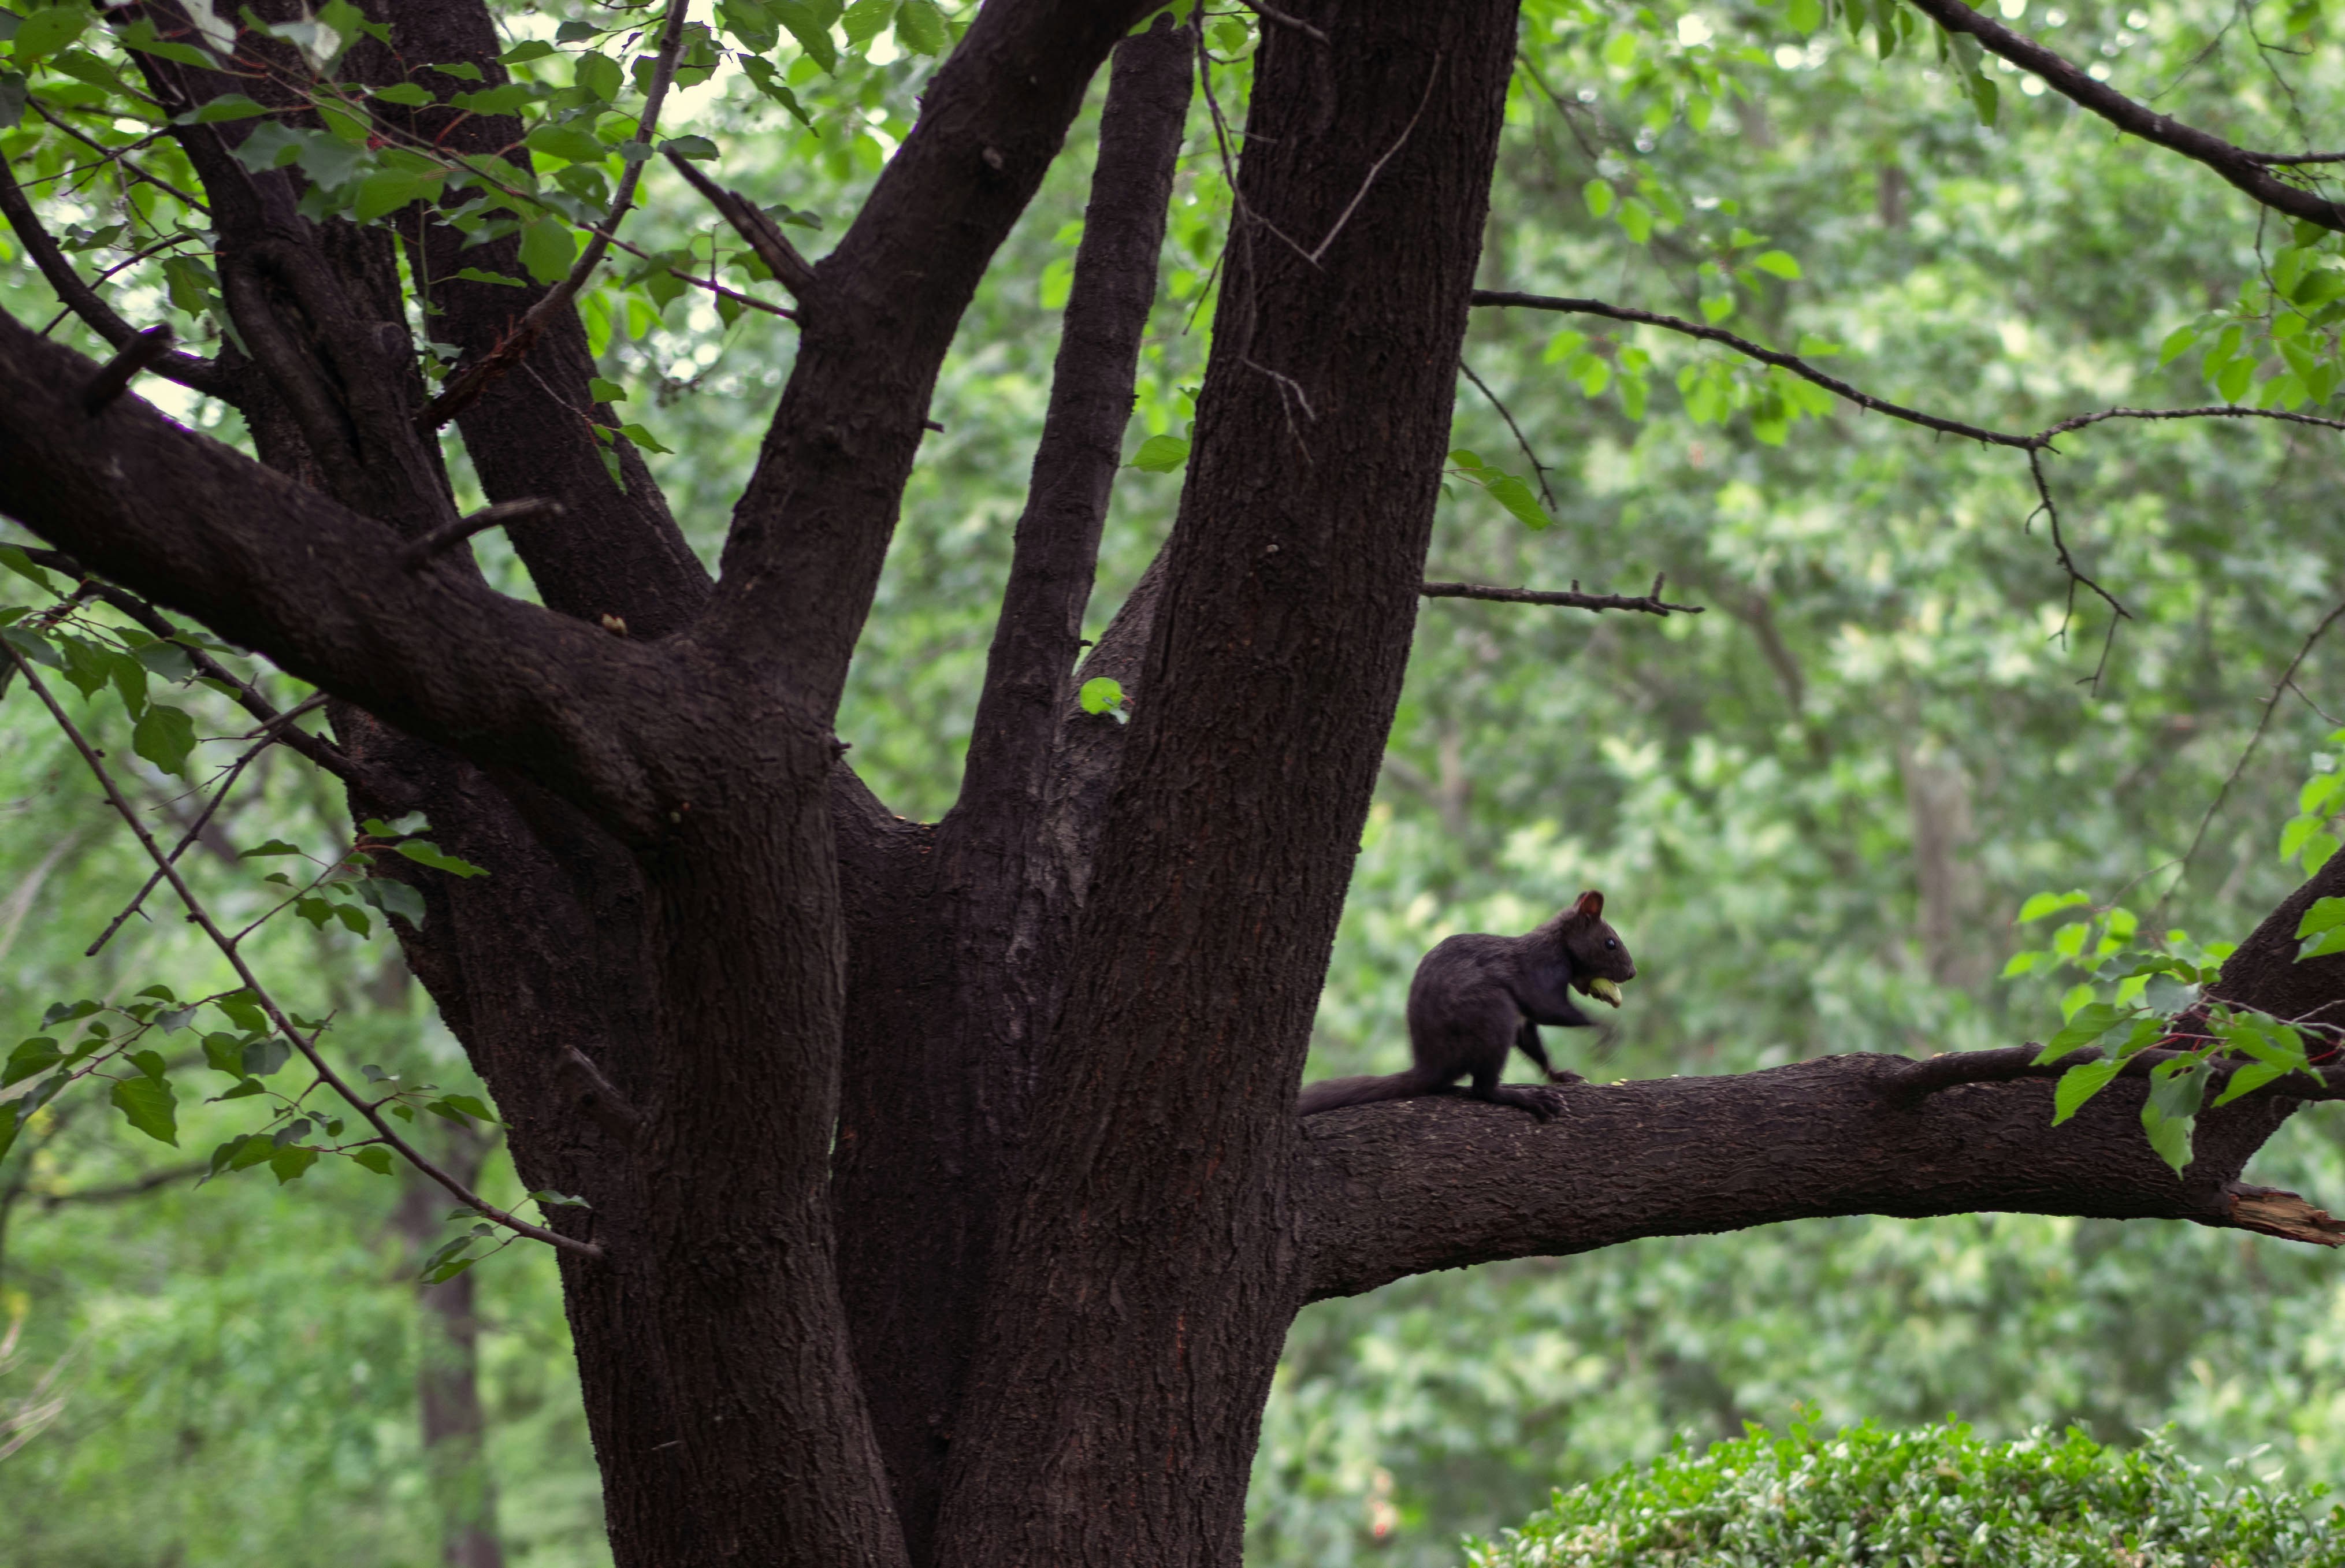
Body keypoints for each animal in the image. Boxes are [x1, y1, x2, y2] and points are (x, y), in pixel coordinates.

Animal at [1296, 890, 1634, 1121]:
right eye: (1611, 943)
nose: (1632, 973)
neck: (1558, 943)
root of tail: (1432, 1065)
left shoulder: (1525, 1018)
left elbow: (1534, 1038)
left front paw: (1561, 1075)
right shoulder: (1540, 971)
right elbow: (1548, 1009)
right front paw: (1607, 1031)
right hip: (1492, 1014)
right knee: (1483, 1089)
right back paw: (1525, 1098)